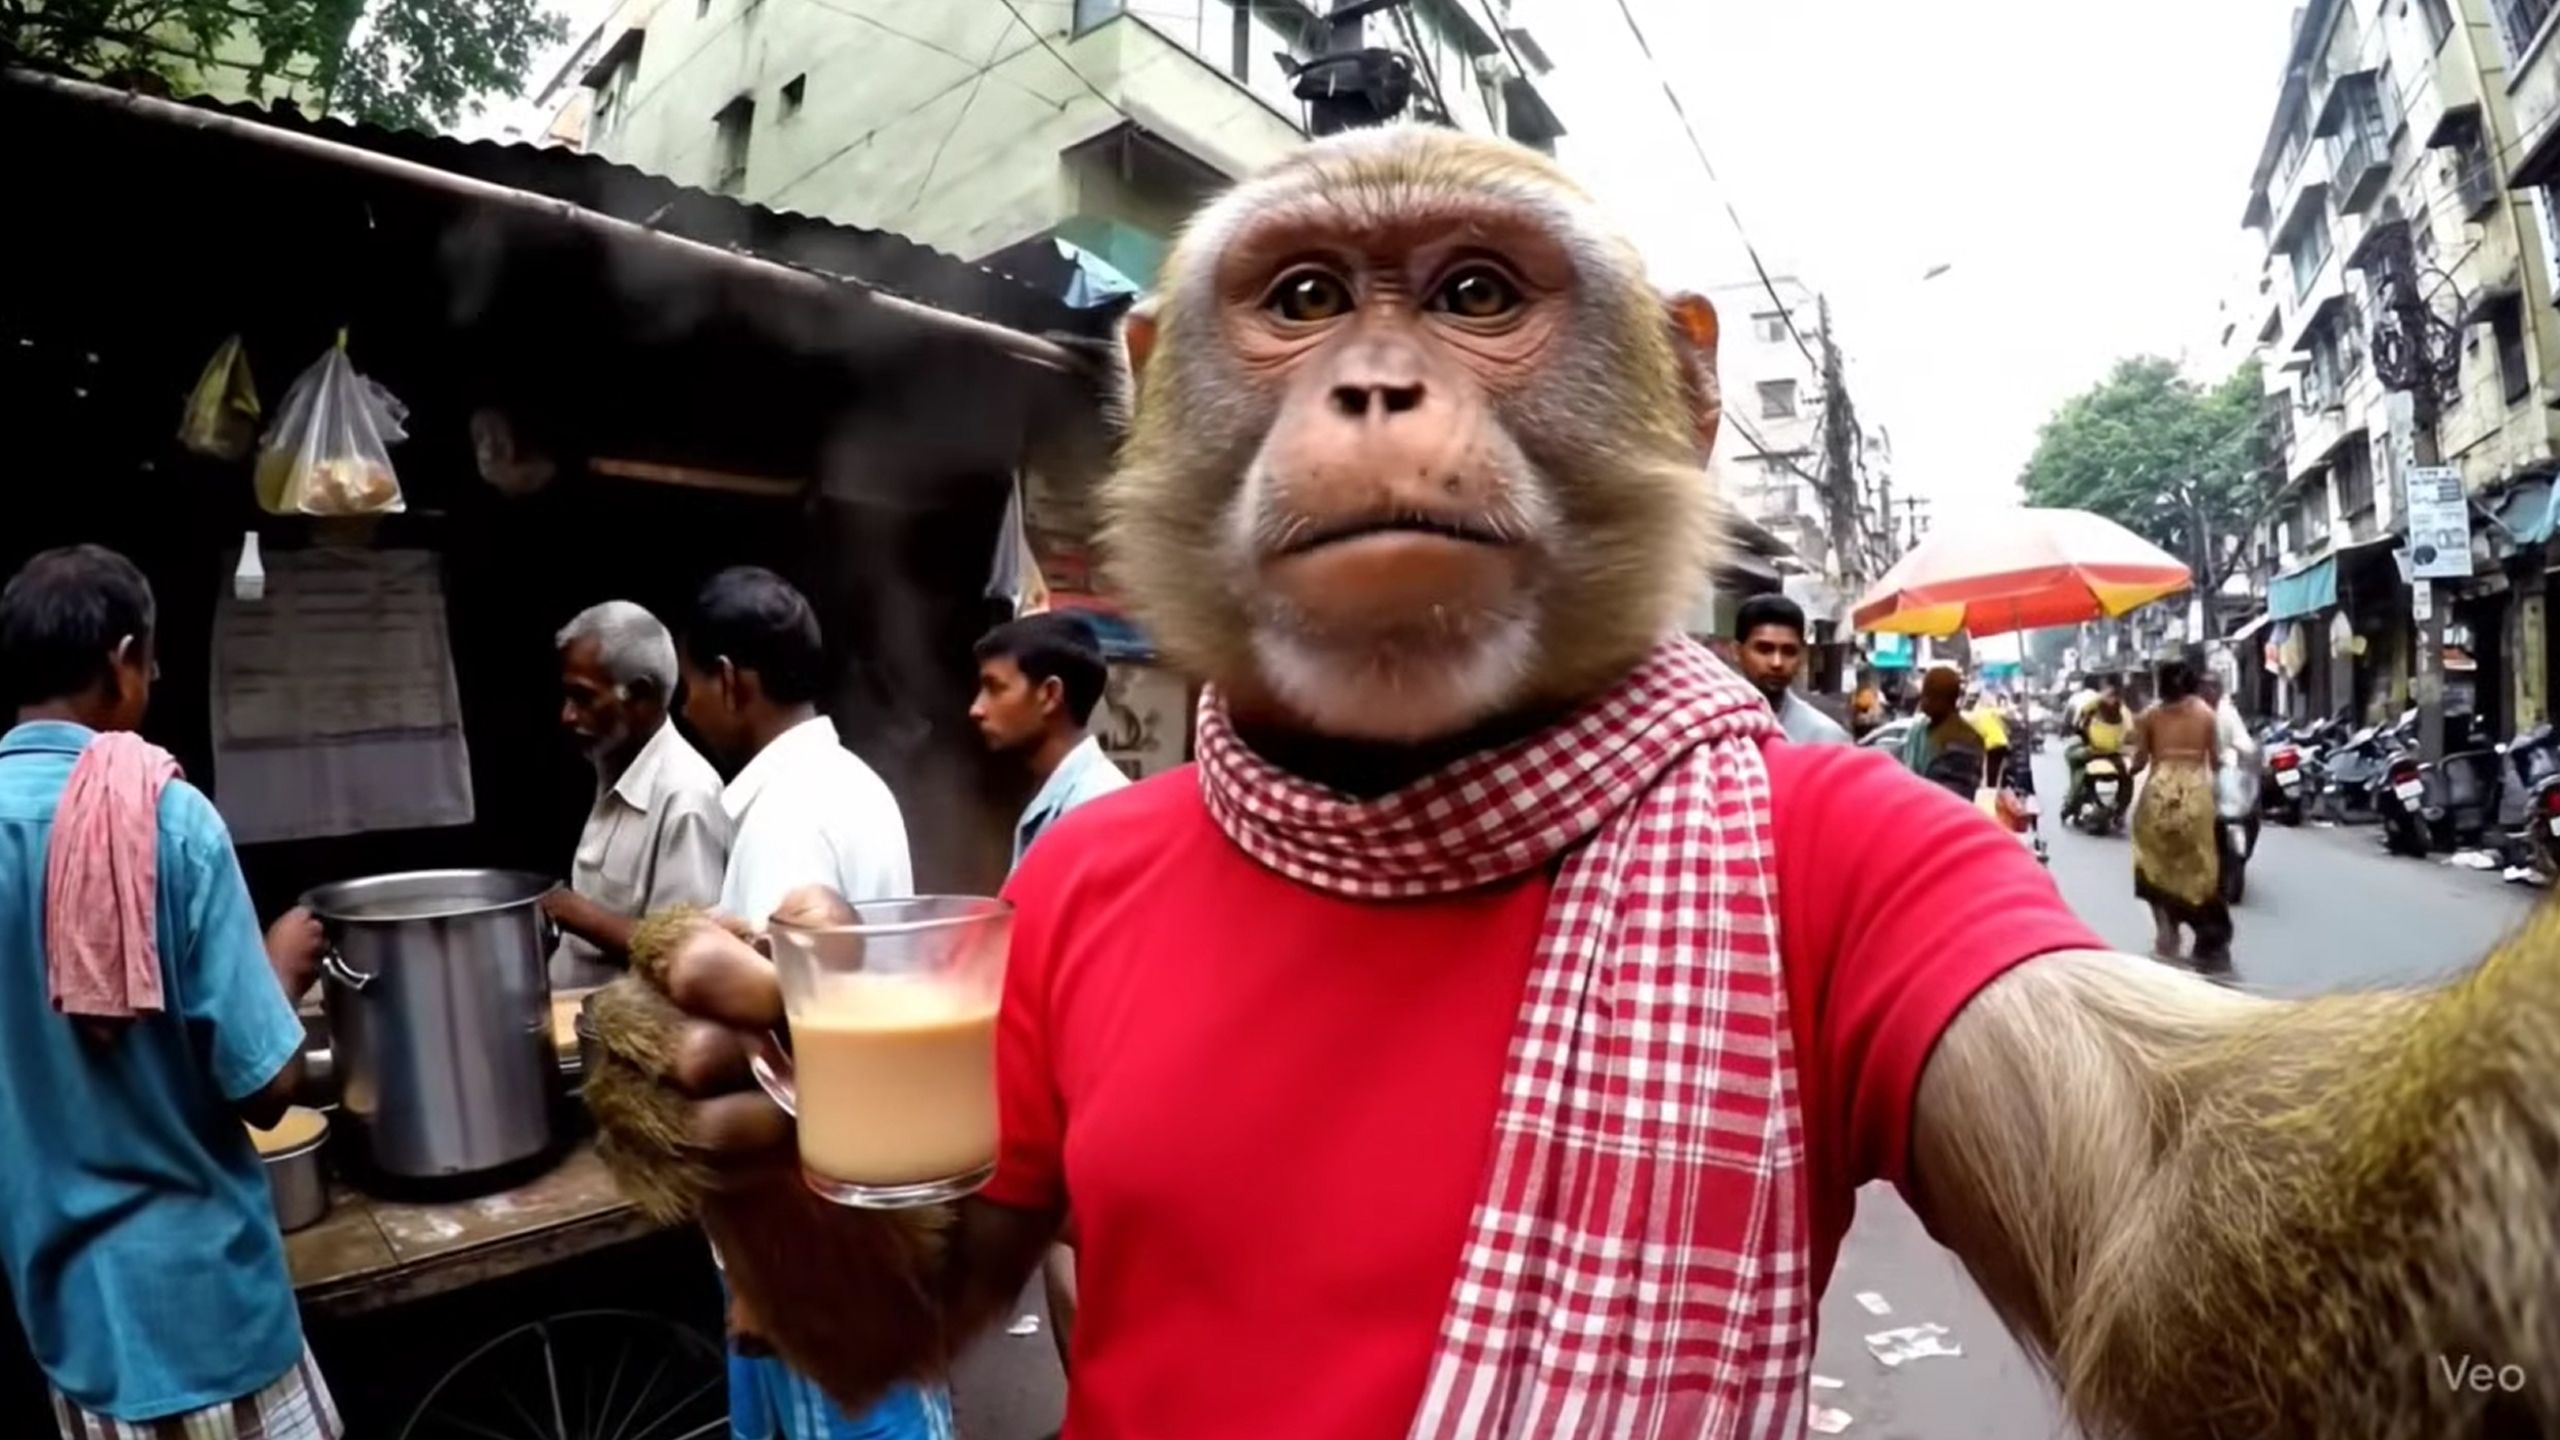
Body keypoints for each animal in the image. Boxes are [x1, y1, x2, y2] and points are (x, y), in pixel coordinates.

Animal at [588, 124, 2560, 1439]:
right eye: (1306, 300)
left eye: (1475, 295)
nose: (1378, 389)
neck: (1389, 794)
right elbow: (948, 1253)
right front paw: (690, 1059)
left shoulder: (1908, 869)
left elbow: (2164, 1215)